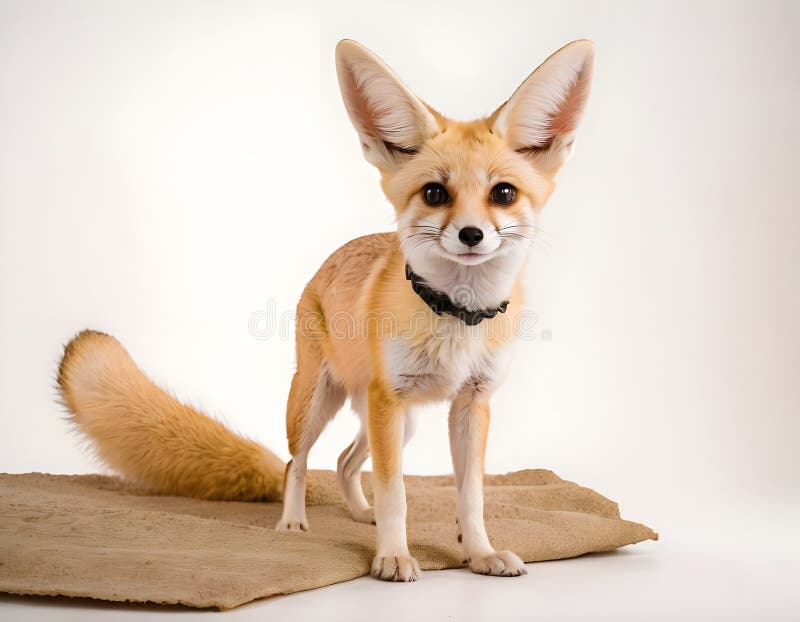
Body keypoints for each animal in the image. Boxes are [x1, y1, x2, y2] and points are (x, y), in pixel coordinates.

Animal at [57, 39, 595, 582]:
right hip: (319, 403)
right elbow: (396, 492)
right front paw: (393, 555)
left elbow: (470, 496)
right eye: (434, 193)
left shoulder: (470, 404)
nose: (471, 235)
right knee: (297, 463)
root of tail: (330, 260)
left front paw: (479, 551)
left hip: (397, 420)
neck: (456, 318)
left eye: (502, 193)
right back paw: (294, 522)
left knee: (342, 460)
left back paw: (361, 512)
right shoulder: (388, 401)